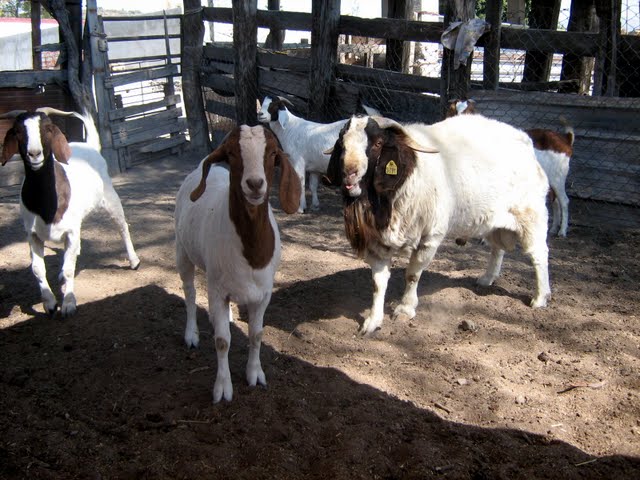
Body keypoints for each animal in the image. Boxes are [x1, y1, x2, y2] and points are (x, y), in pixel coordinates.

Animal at [1, 108, 140, 317]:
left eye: (48, 128)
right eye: (17, 131)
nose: (34, 154)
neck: (46, 205)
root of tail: (89, 145)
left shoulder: (71, 231)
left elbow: (68, 269)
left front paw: (68, 304)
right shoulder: (32, 234)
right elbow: (37, 269)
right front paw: (49, 304)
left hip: (110, 197)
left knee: (122, 226)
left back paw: (133, 260)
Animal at [174, 124, 300, 402]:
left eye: (272, 153)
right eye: (231, 153)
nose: (254, 184)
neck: (251, 252)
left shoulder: (263, 294)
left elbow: (257, 334)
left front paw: (255, 374)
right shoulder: (217, 290)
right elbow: (222, 341)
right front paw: (223, 388)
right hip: (182, 252)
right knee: (189, 292)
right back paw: (191, 335)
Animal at [324, 114, 551, 335]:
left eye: (378, 142)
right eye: (342, 143)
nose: (349, 173)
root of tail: (525, 141)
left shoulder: (429, 237)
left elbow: (412, 275)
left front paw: (405, 309)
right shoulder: (377, 242)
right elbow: (378, 283)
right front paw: (373, 321)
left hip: (531, 216)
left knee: (539, 254)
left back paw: (540, 298)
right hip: (494, 221)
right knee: (497, 248)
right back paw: (487, 279)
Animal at [447, 98, 574, 236]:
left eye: (470, 112)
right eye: (453, 111)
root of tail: (565, 140)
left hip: (559, 176)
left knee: (564, 201)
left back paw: (562, 231)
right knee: (555, 201)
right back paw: (554, 228)